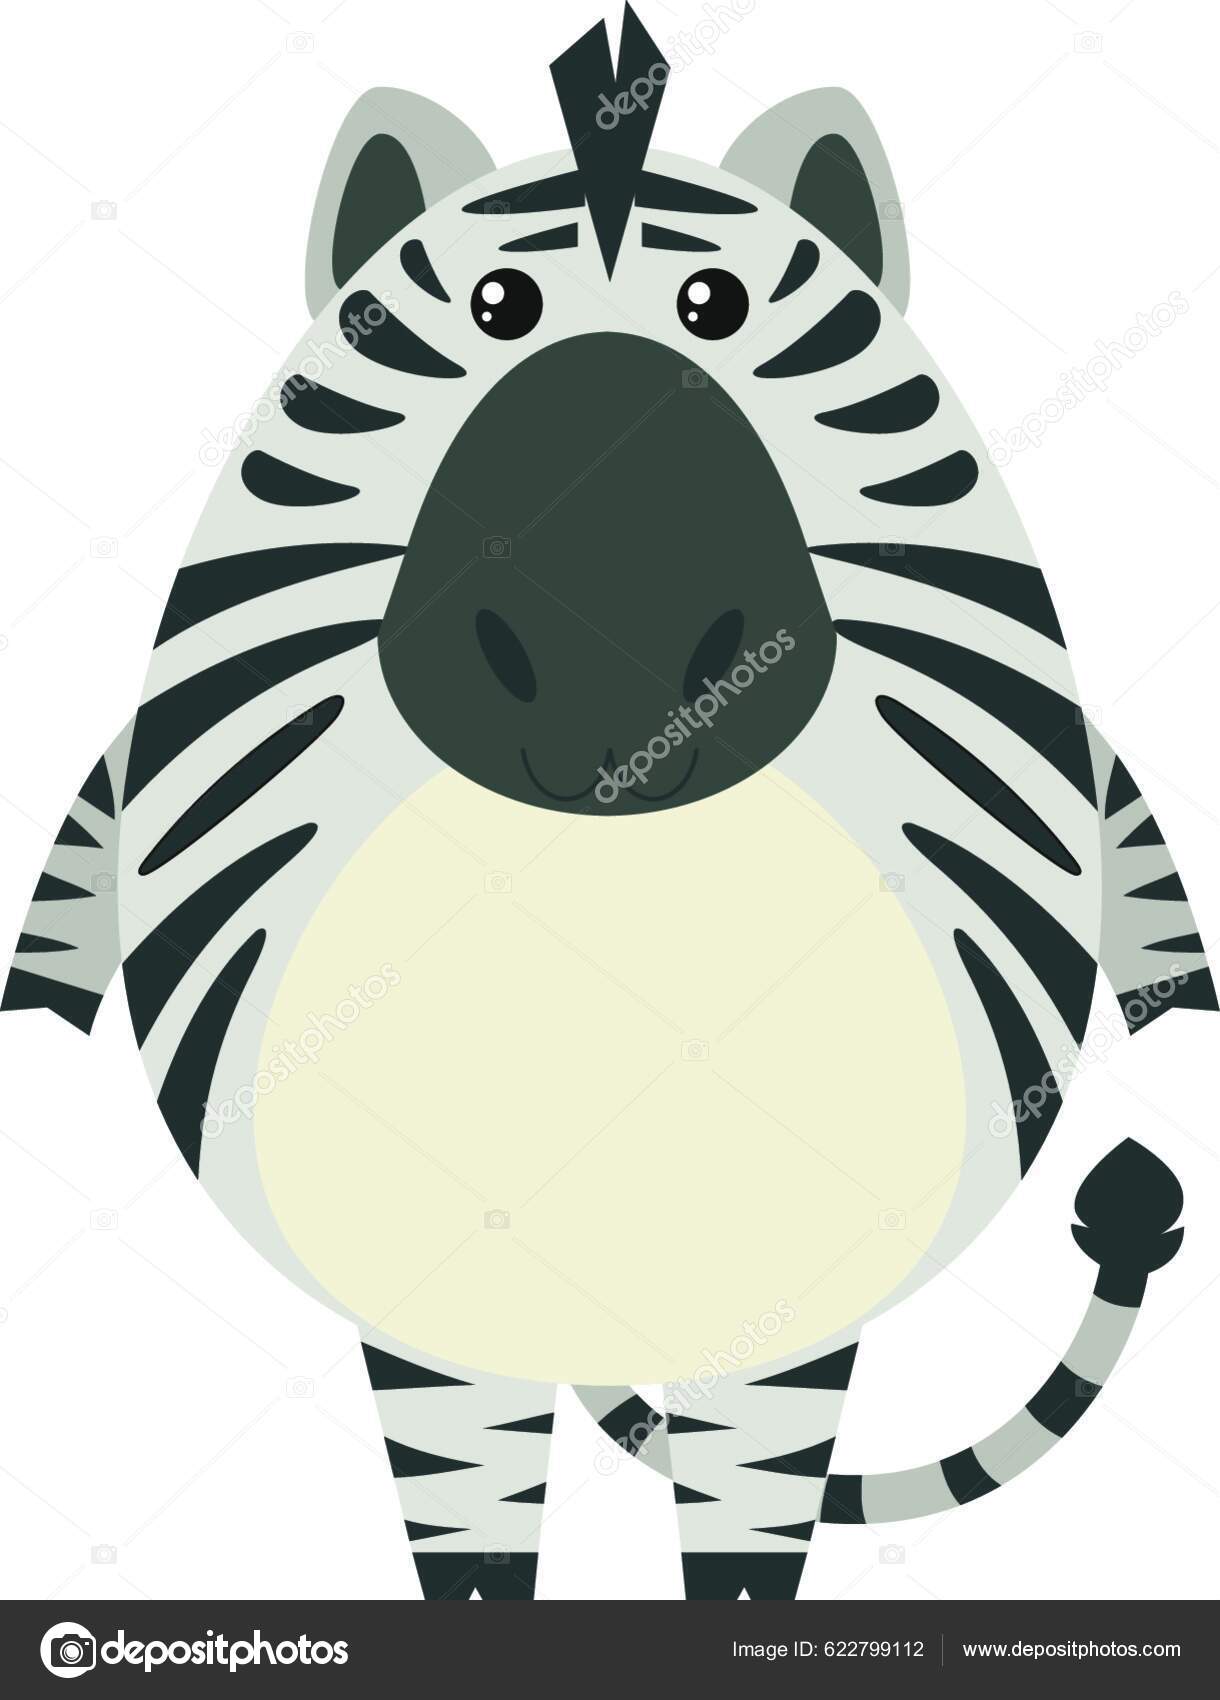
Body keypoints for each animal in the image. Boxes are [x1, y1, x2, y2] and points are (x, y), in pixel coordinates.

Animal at [4, 6, 1213, 1601]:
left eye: (715, 307)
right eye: (498, 306)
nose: (608, 696)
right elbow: (469, 1552)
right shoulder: (430, 1320)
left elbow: (747, 1555)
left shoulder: (790, 1321)